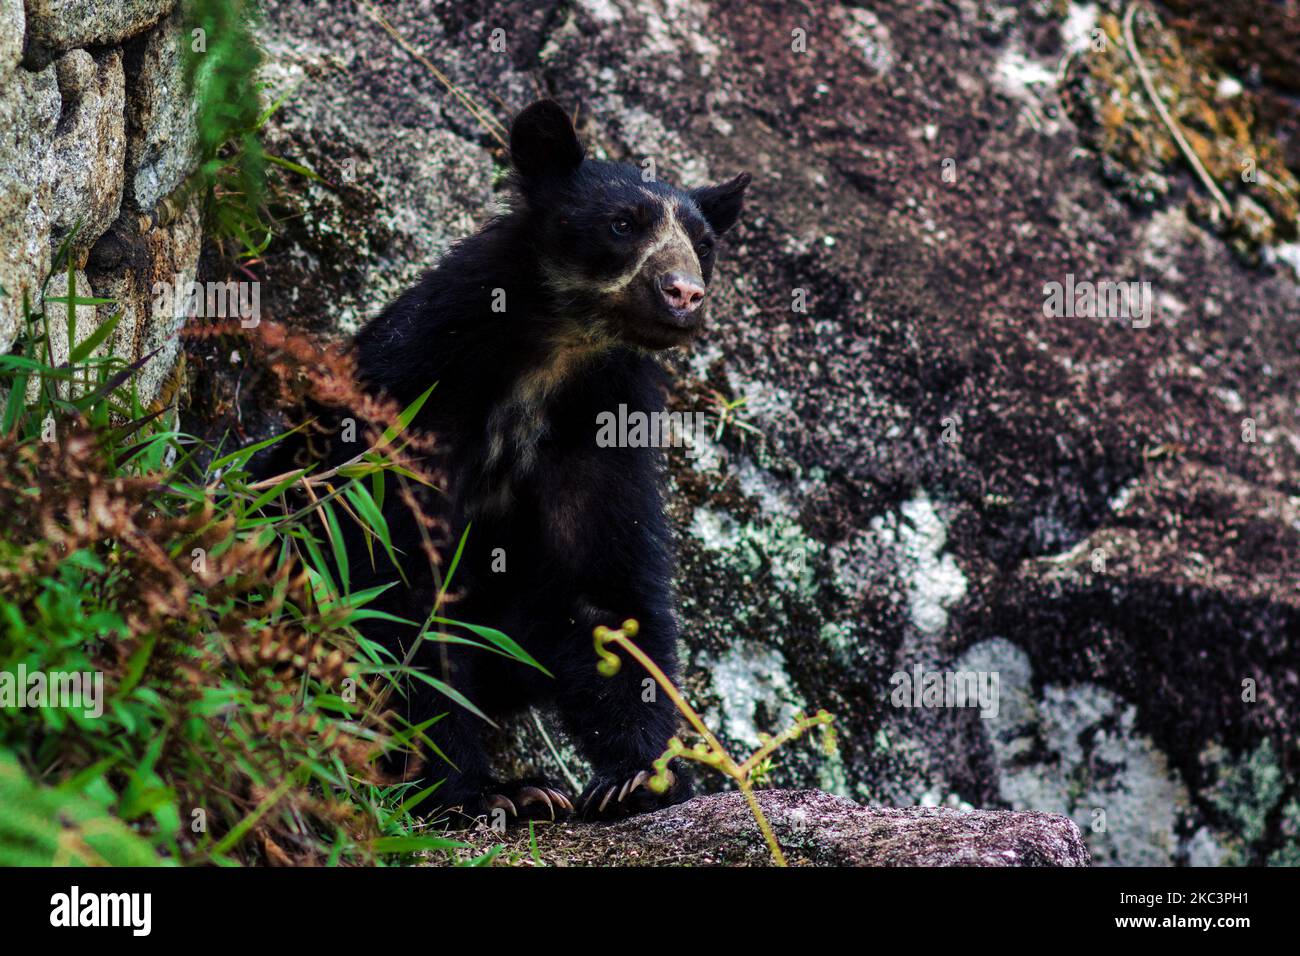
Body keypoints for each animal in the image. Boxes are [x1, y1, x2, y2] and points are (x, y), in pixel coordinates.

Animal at [313, 100, 748, 824]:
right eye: (622, 223)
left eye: (705, 245)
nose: (683, 294)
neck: (550, 354)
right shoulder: (420, 394)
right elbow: (401, 584)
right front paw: (471, 792)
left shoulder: (598, 418)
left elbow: (604, 588)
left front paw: (640, 777)